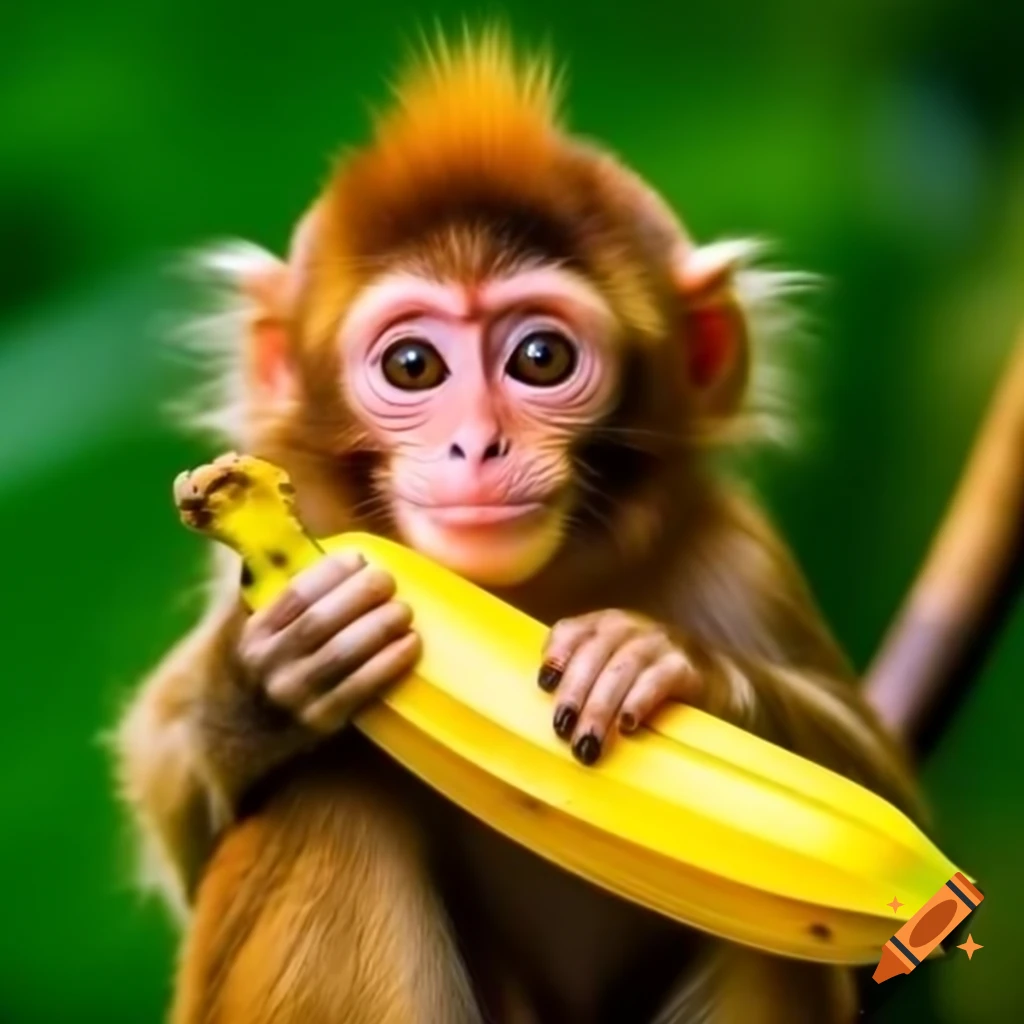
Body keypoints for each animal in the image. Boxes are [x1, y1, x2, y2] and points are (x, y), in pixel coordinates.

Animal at [114, 29, 922, 1024]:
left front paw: (655, 658)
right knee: (327, 800)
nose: (478, 444)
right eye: (414, 365)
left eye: (541, 356)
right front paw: (274, 667)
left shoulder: (741, 557)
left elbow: (881, 786)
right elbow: (175, 809)